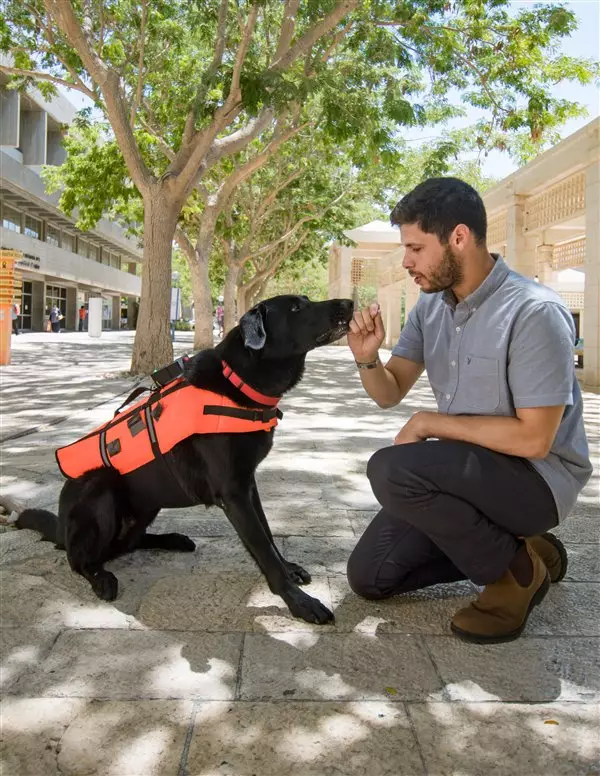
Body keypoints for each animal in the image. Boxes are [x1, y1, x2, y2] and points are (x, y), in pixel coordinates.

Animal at [16, 296, 354, 624]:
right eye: (296, 307)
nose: (349, 303)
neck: (238, 380)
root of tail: (61, 528)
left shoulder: (248, 483)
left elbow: (268, 533)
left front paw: (290, 568)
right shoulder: (233, 493)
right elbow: (262, 547)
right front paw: (300, 602)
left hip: (147, 506)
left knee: (127, 543)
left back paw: (173, 540)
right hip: (100, 484)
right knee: (81, 560)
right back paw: (102, 577)